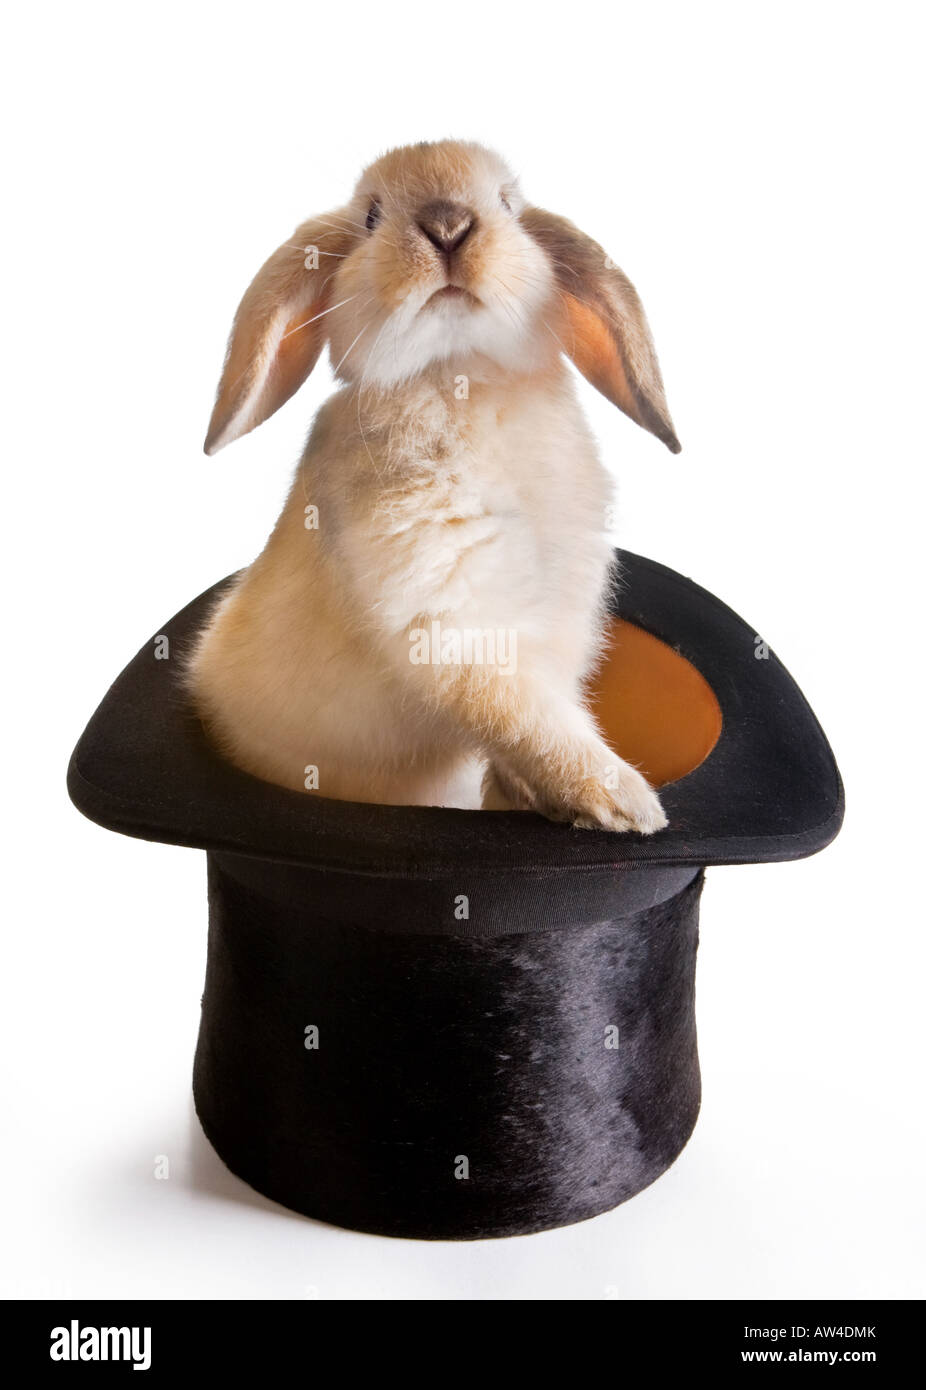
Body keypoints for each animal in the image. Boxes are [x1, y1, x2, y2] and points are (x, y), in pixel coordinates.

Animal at [187, 140, 681, 832]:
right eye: (370, 217)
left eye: (507, 204)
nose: (447, 226)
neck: (461, 375)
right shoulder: (444, 619)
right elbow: (524, 715)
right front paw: (626, 803)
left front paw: (541, 797)